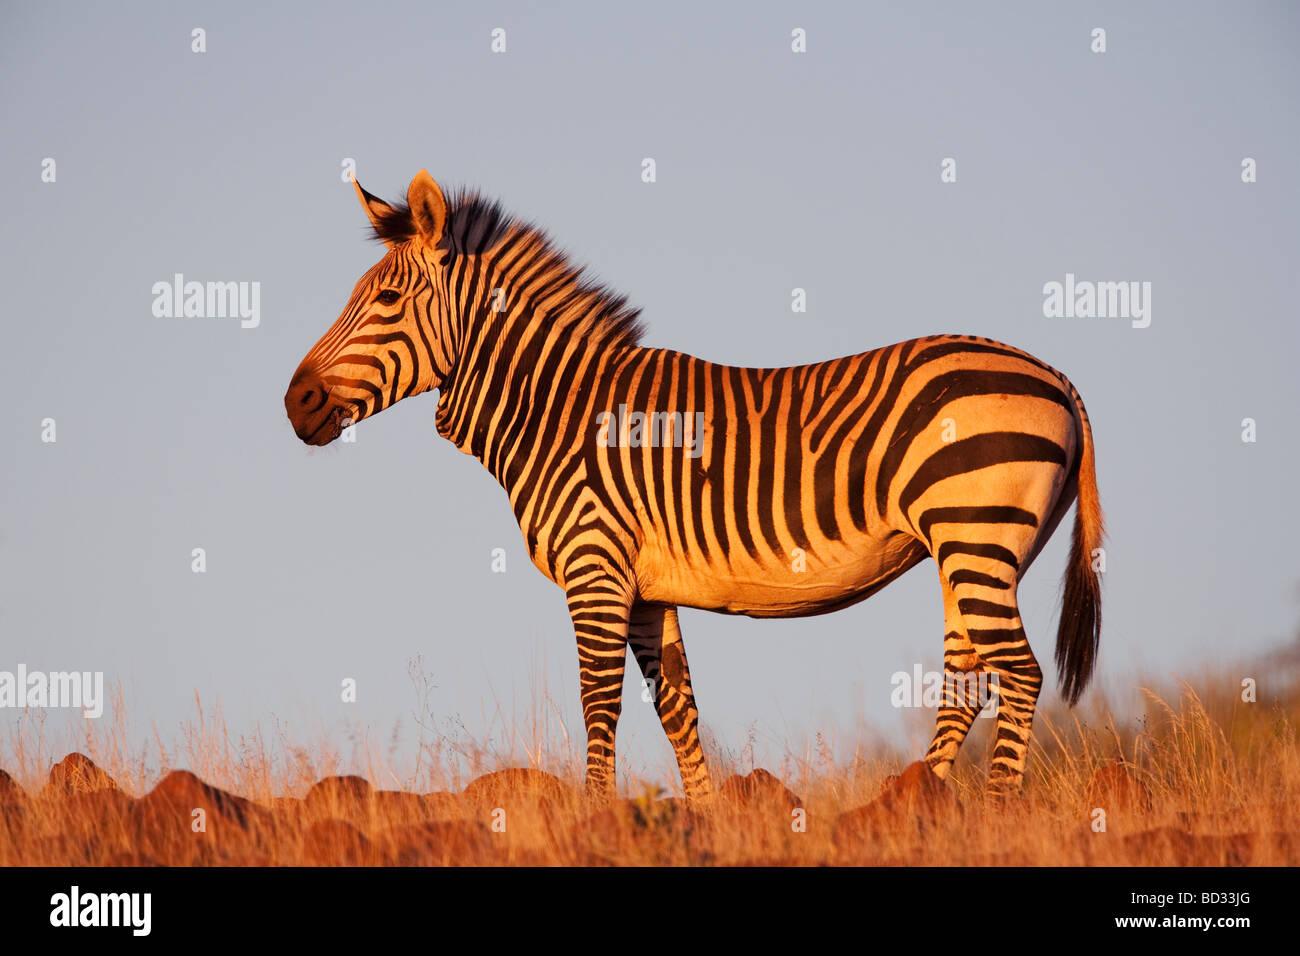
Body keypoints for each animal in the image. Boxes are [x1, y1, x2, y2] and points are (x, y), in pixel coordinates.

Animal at [285, 170, 1103, 801]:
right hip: (973, 549)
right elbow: (677, 707)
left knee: (1020, 674)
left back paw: (994, 810)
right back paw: (920, 800)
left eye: (387, 302)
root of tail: (1057, 375)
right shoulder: (648, 588)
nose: (294, 403)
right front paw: (702, 817)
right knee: (968, 677)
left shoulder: (595, 569)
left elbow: (600, 701)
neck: (562, 411)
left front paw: (597, 814)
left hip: (975, 529)